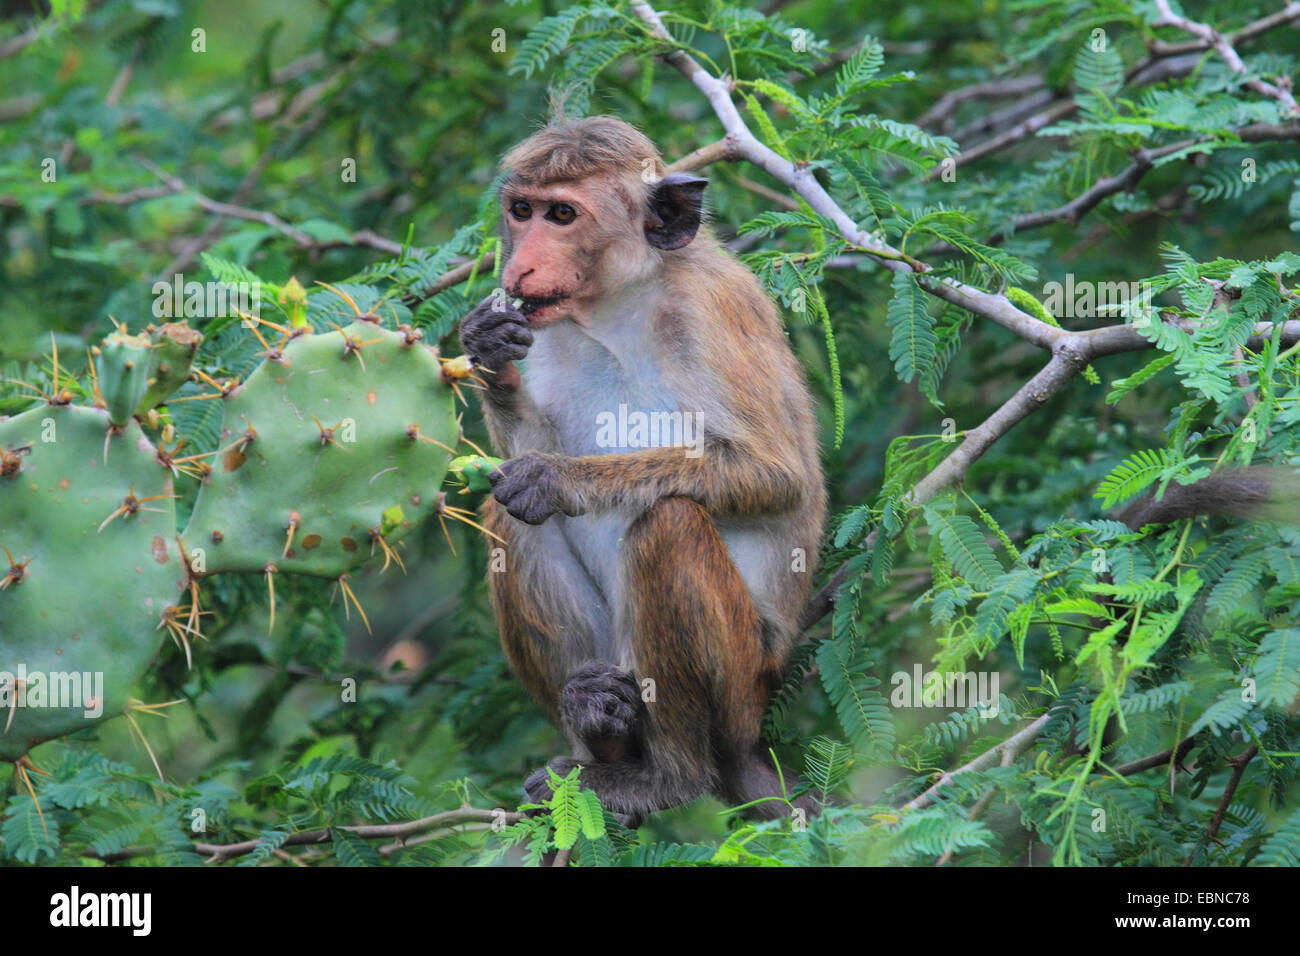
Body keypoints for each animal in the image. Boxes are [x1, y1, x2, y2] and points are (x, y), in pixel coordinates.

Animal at [458, 116, 826, 823]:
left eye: (563, 214)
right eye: (522, 211)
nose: (520, 263)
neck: (620, 305)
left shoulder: (711, 312)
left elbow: (776, 473)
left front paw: (555, 479)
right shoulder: (549, 331)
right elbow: (515, 470)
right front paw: (489, 351)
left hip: (744, 680)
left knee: (670, 525)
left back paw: (666, 778)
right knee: (508, 519)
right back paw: (598, 731)